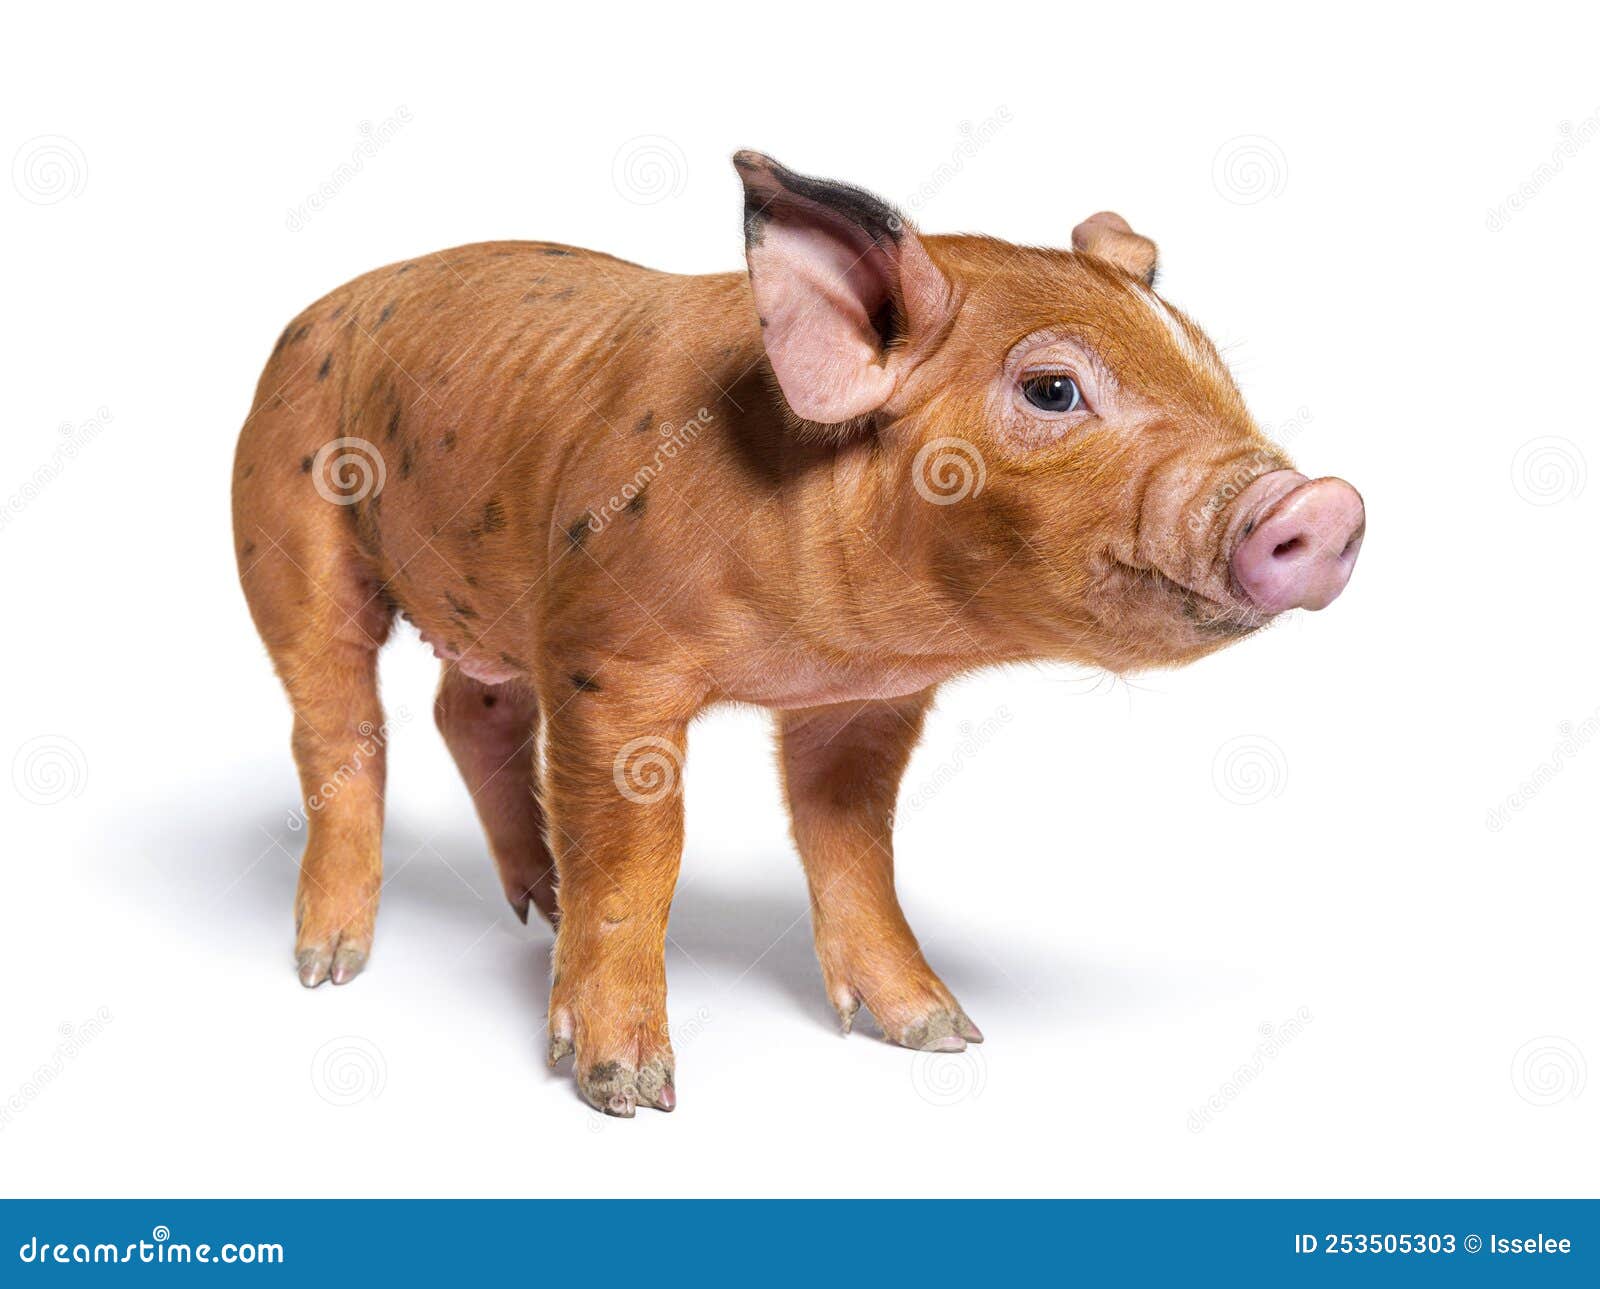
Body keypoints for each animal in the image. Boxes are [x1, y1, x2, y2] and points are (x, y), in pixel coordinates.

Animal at [232, 151, 1364, 1116]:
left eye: (1212, 367)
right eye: (1051, 388)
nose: (1327, 502)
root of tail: (303, 318)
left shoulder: (863, 699)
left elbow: (851, 838)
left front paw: (942, 1032)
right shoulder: (604, 660)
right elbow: (638, 857)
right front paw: (625, 1089)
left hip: (485, 612)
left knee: (465, 707)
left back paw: (536, 902)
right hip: (286, 519)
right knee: (338, 722)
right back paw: (331, 965)